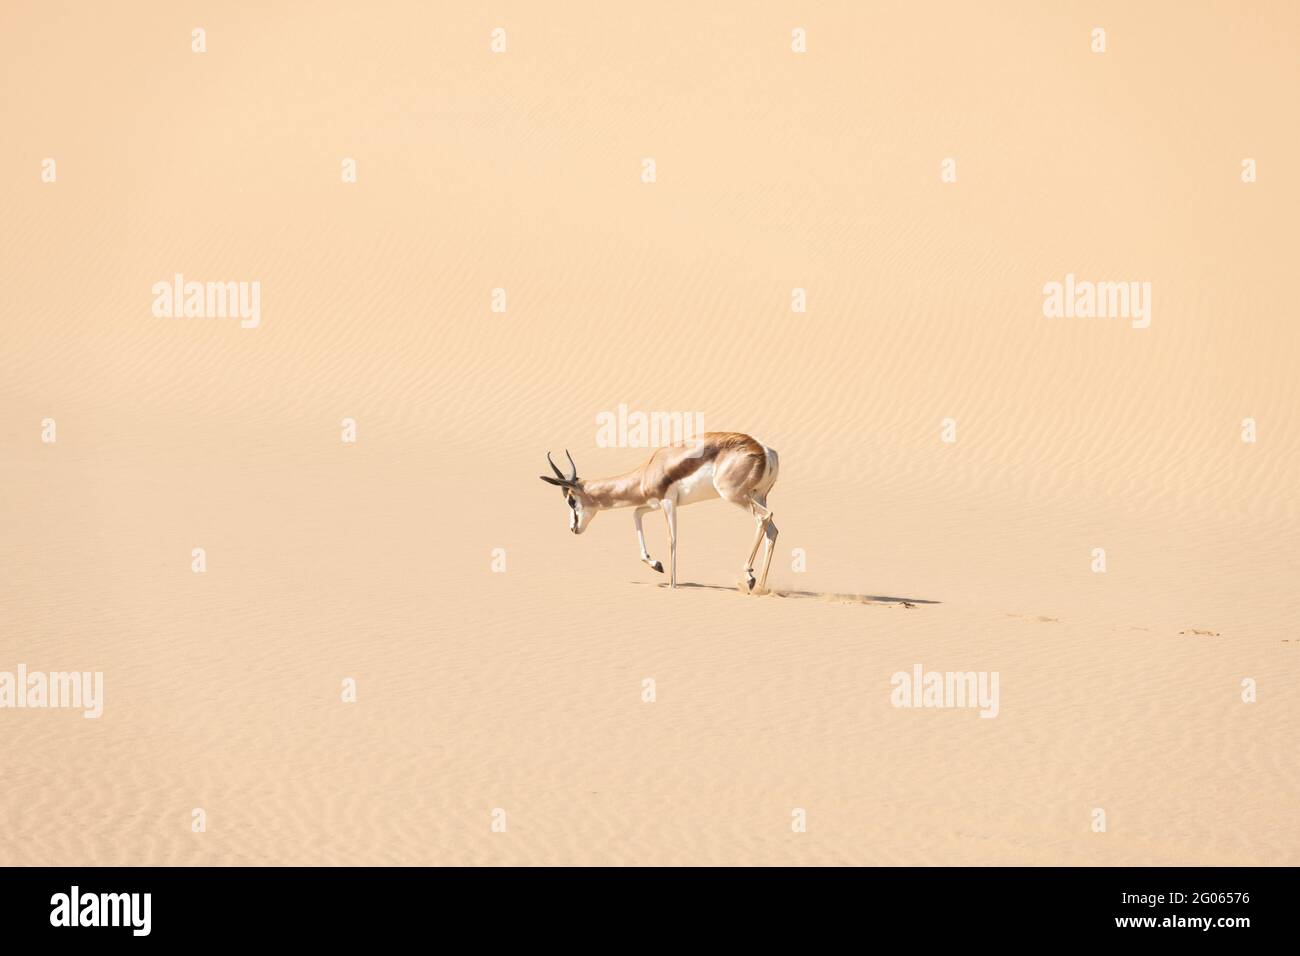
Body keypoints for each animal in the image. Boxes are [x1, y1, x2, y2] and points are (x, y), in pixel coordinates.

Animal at [539, 432, 780, 592]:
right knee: (772, 529)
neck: (648, 470)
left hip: (735, 496)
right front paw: (656, 565)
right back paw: (761, 586)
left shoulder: (668, 502)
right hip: (758, 496)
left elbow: (672, 539)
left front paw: (672, 584)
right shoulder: (652, 504)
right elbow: (635, 514)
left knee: (764, 517)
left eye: (571, 500)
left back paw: (749, 577)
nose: (573, 528)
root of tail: (764, 450)